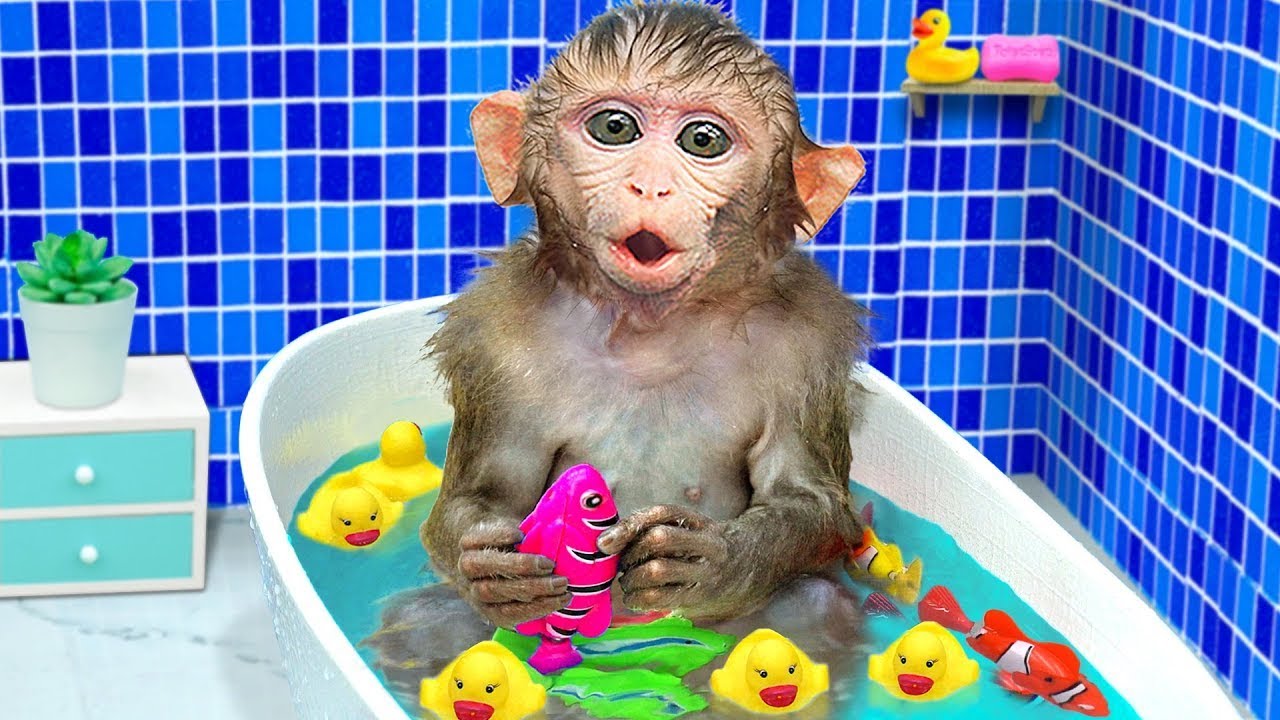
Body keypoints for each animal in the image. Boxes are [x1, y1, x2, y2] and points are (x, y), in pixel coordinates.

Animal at [366, 2, 872, 711]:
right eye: (615, 128)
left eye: (703, 141)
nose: (649, 186)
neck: (648, 332)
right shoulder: (495, 341)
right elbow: (481, 494)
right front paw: (494, 572)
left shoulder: (808, 343)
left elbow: (815, 502)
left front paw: (713, 562)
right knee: (426, 624)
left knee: (814, 607)